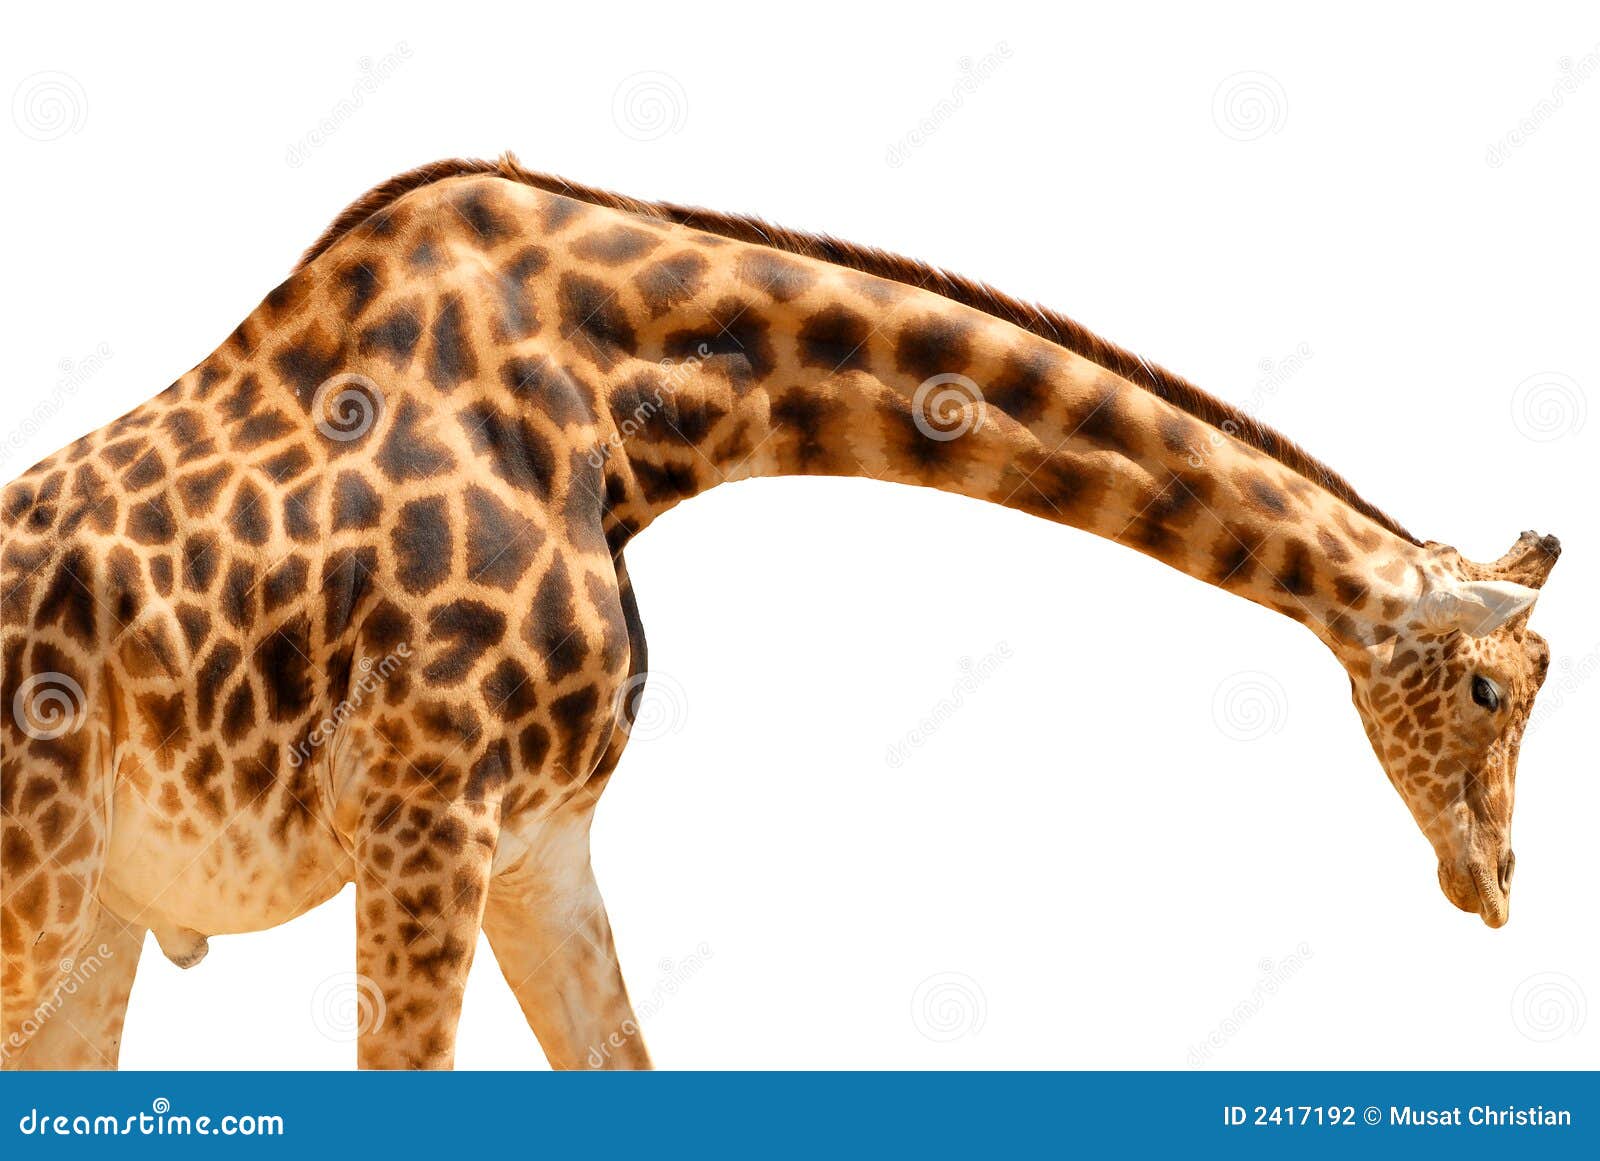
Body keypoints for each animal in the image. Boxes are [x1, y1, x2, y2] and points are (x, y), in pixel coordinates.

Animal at [0, 155, 1560, 1070]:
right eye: (1492, 688)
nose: (1494, 882)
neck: (616, 419)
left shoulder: (538, 844)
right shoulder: (421, 818)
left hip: (96, 919)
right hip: (42, 882)